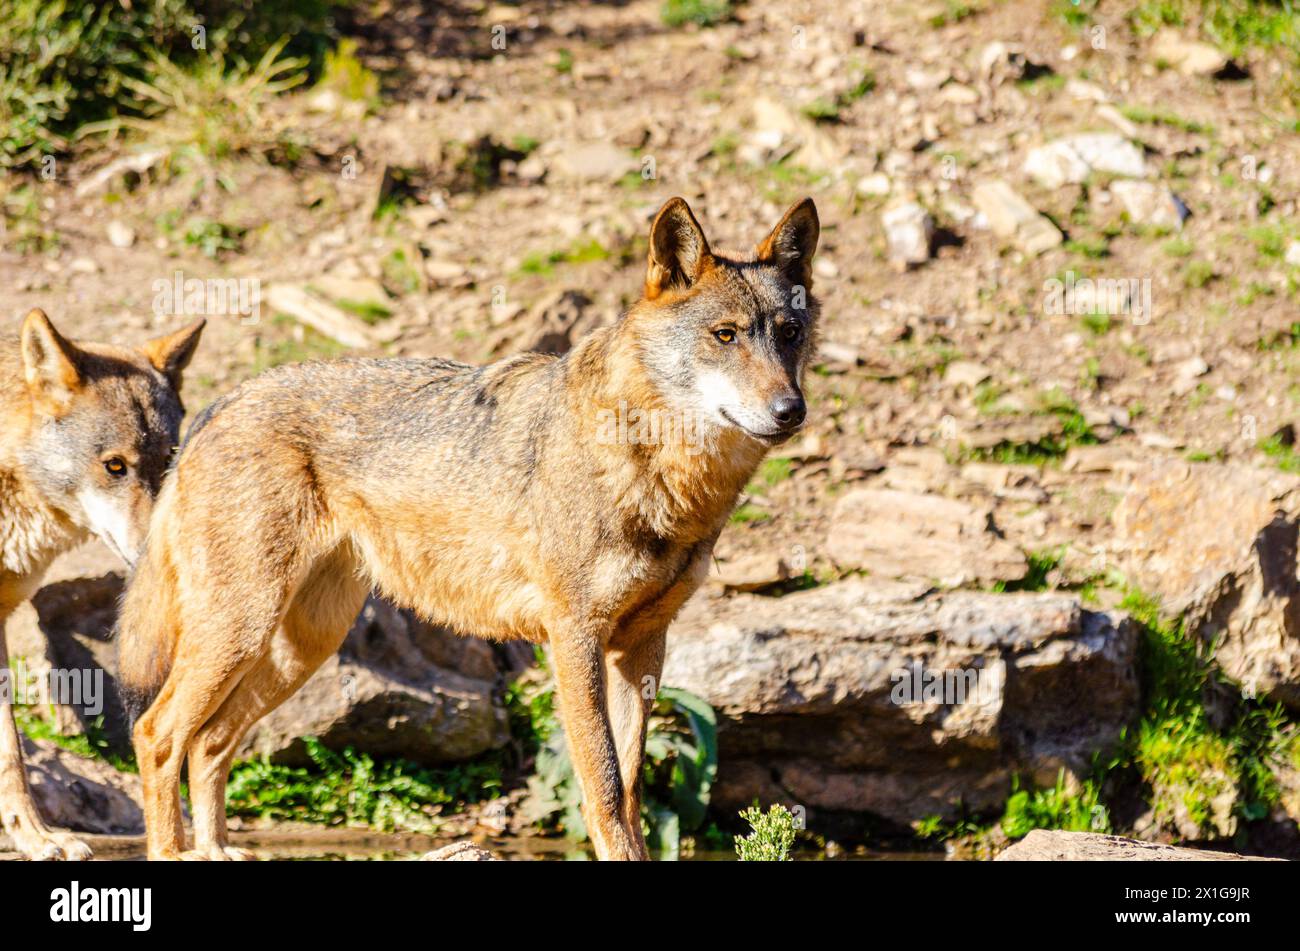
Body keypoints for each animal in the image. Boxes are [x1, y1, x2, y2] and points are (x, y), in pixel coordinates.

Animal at [117, 196, 819, 860]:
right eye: (725, 335)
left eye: (789, 334)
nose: (792, 410)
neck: (656, 470)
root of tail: (219, 404)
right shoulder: (574, 639)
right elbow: (601, 791)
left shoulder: (643, 647)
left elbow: (629, 793)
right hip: (241, 631)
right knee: (156, 734)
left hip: (301, 645)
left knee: (209, 742)